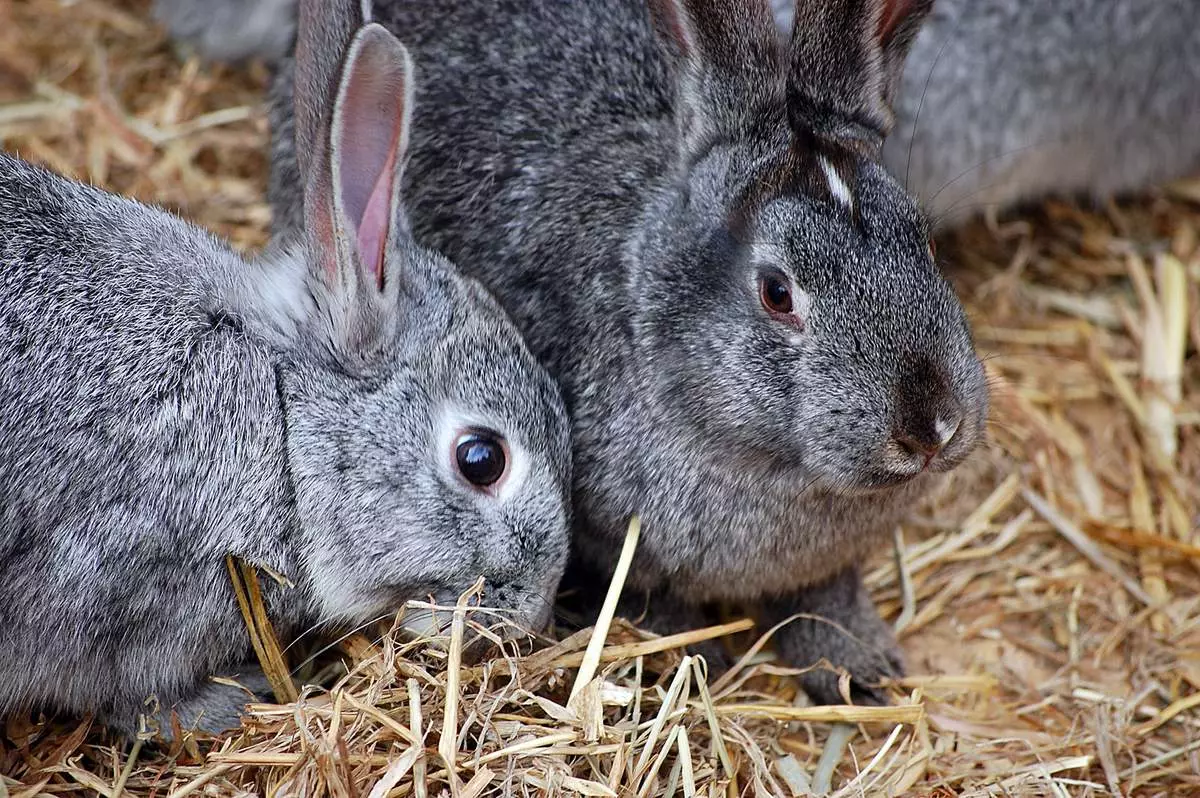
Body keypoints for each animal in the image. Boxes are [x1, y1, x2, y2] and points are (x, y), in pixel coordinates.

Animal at [267, 0, 988, 705]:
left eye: (923, 241)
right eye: (777, 292)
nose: (932, 427)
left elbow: (825, 597)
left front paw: (859, 671)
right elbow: (656, 605)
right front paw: (693, 667)